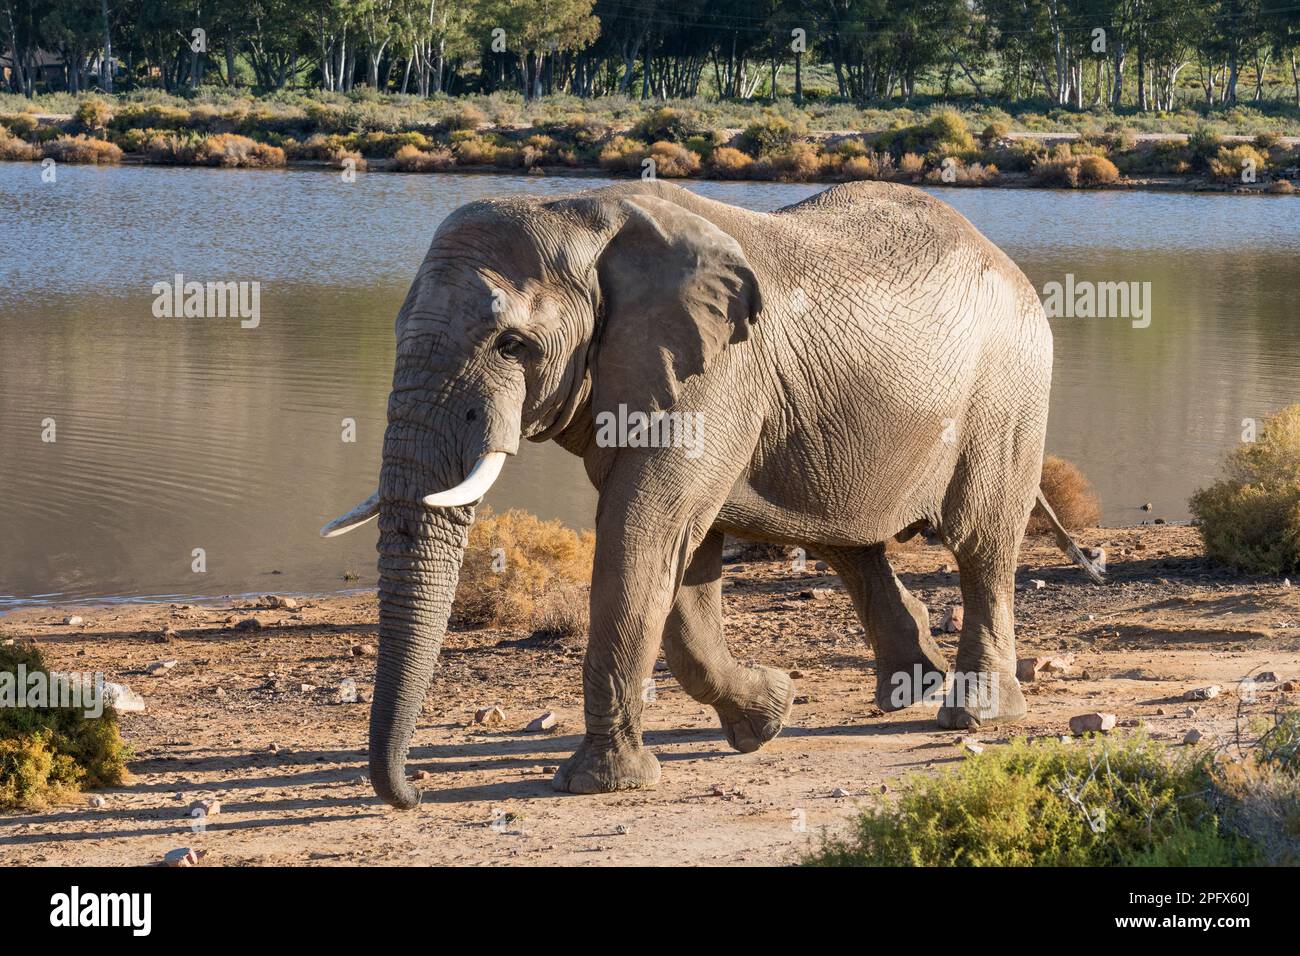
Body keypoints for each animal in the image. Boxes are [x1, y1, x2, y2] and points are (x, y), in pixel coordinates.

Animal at [323, 179, 1103, 809]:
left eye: (512, 344)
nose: (412, 793)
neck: (580, 212)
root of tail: (1007, 261)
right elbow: (682, 559)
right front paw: (768, 716)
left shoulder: (715, 375)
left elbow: (646, 529)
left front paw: (601, 785)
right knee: (848, 545)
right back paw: (914, 687)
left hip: (1008, 388)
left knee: (979, 542)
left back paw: (973, 713)